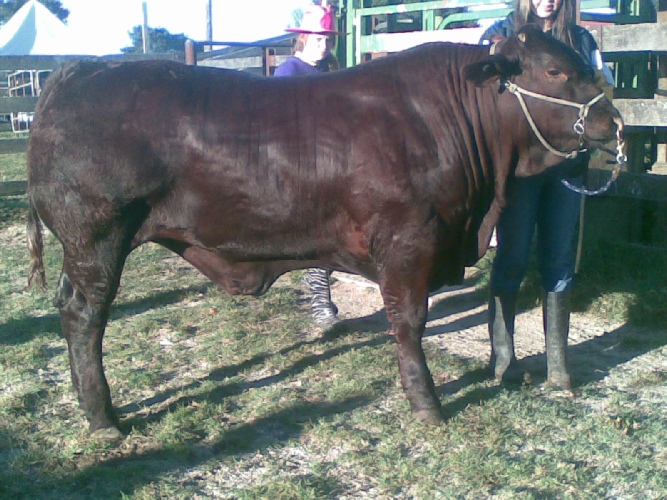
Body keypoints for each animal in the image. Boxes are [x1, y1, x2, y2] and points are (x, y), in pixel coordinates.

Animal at [27, 25, 623, 440]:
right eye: (554, 72)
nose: (613, 122)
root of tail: (77, 72)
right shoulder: (409, 243)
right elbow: (409, 322)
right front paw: (426, 404)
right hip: (96, 237)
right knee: (85, 315)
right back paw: (103, 417)